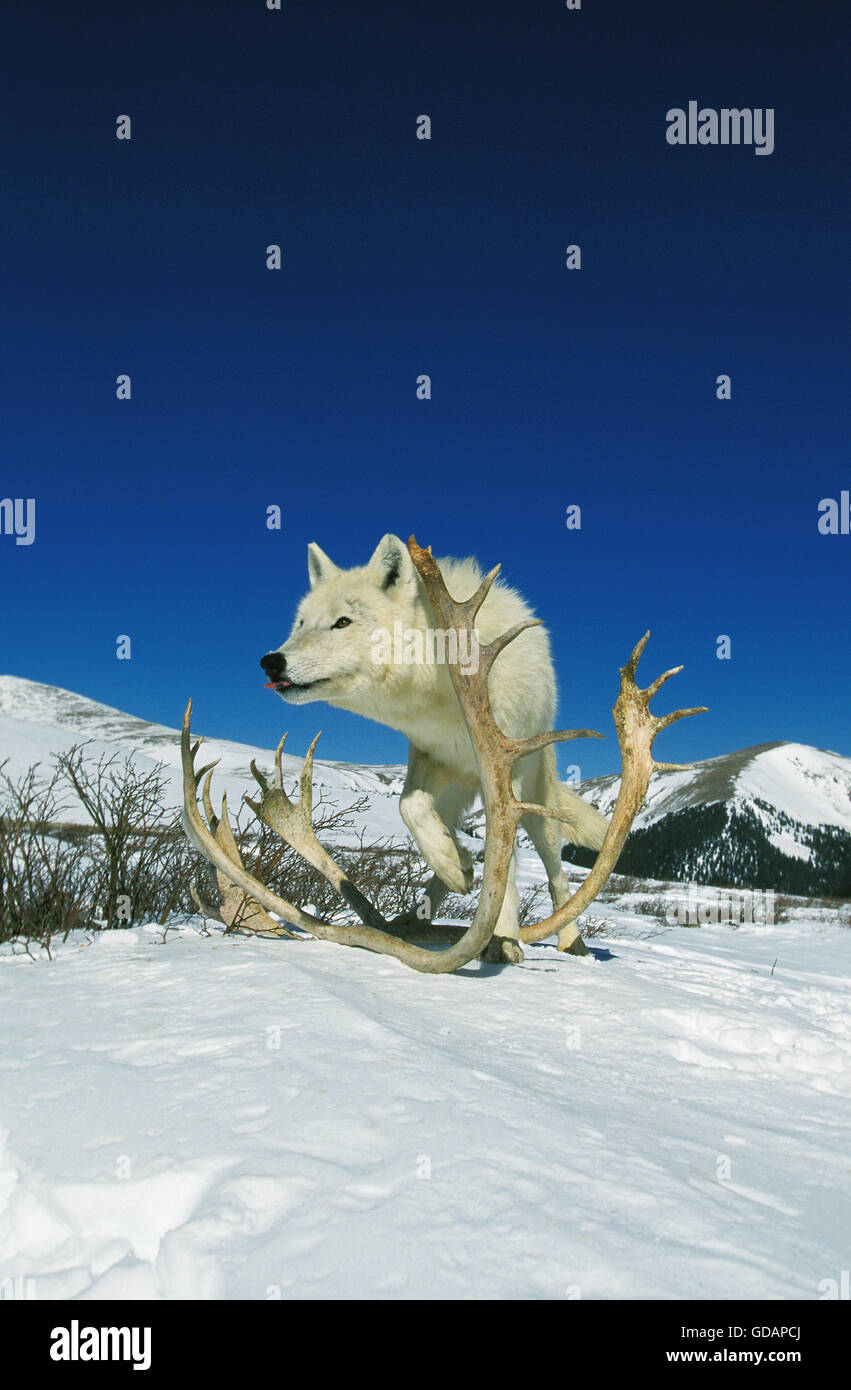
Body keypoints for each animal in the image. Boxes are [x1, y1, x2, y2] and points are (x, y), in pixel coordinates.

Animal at [260, 534, 608, 962]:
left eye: (342, 622)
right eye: (301, 623)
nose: (271, 662)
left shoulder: (503, 773)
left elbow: (507, 866)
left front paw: (504, 938)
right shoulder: (428, 754)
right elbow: (407, 806)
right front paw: (453, 864)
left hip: (538, 801)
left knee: (554, 872)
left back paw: (572, 942)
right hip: (459, 794)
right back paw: (442, 884)